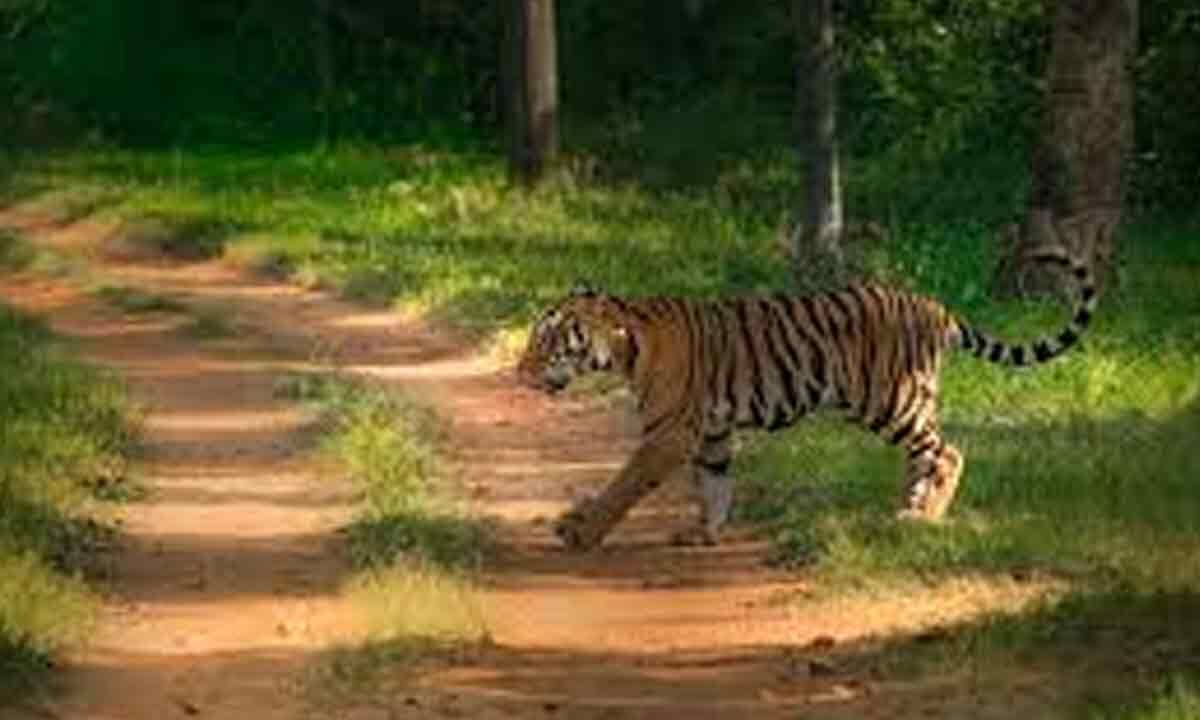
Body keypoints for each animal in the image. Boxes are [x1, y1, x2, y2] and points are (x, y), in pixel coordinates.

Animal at [516, 249, 1096, 552]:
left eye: (548, 341)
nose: (519, 374)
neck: (625, 347)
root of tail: (937, 308)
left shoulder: (670, 432)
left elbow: (623, 484)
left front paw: (582, 530)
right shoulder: (712, 430)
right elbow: (715, 484)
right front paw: (704, 532)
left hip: (891, 400)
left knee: (947, 451)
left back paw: (925, 516)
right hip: (901, 404)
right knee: (926, 456)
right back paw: (907, 510)